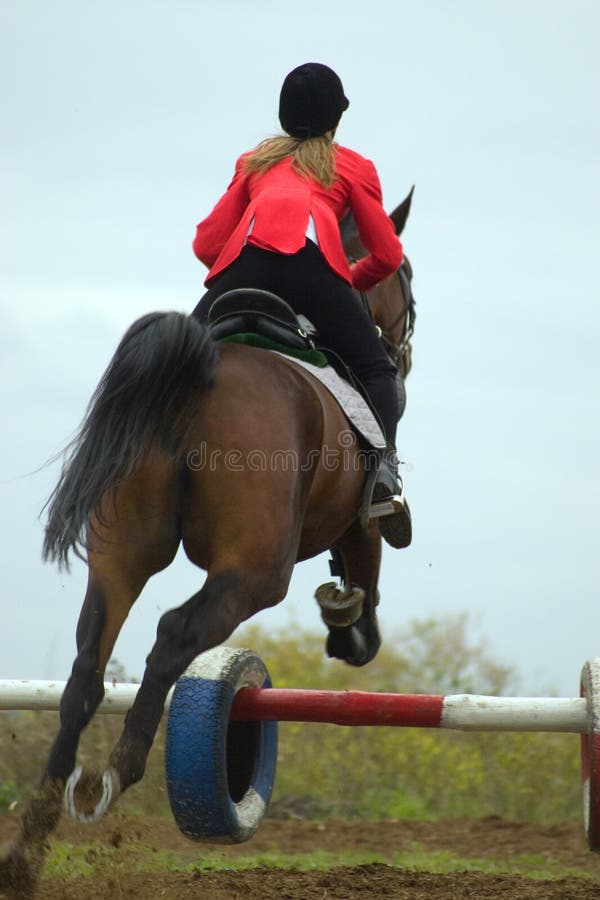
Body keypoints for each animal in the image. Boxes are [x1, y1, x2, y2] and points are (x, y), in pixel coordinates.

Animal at [0, 189, 415, 898]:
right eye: (406, 277)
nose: (407, 353)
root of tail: (195, 378)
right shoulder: (361, 515)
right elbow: (367, 562)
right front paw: (352, 628)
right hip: (256, 571)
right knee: (173, 632)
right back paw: (116, 770)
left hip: (121, 557)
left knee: (86, 669)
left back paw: (30, 847)